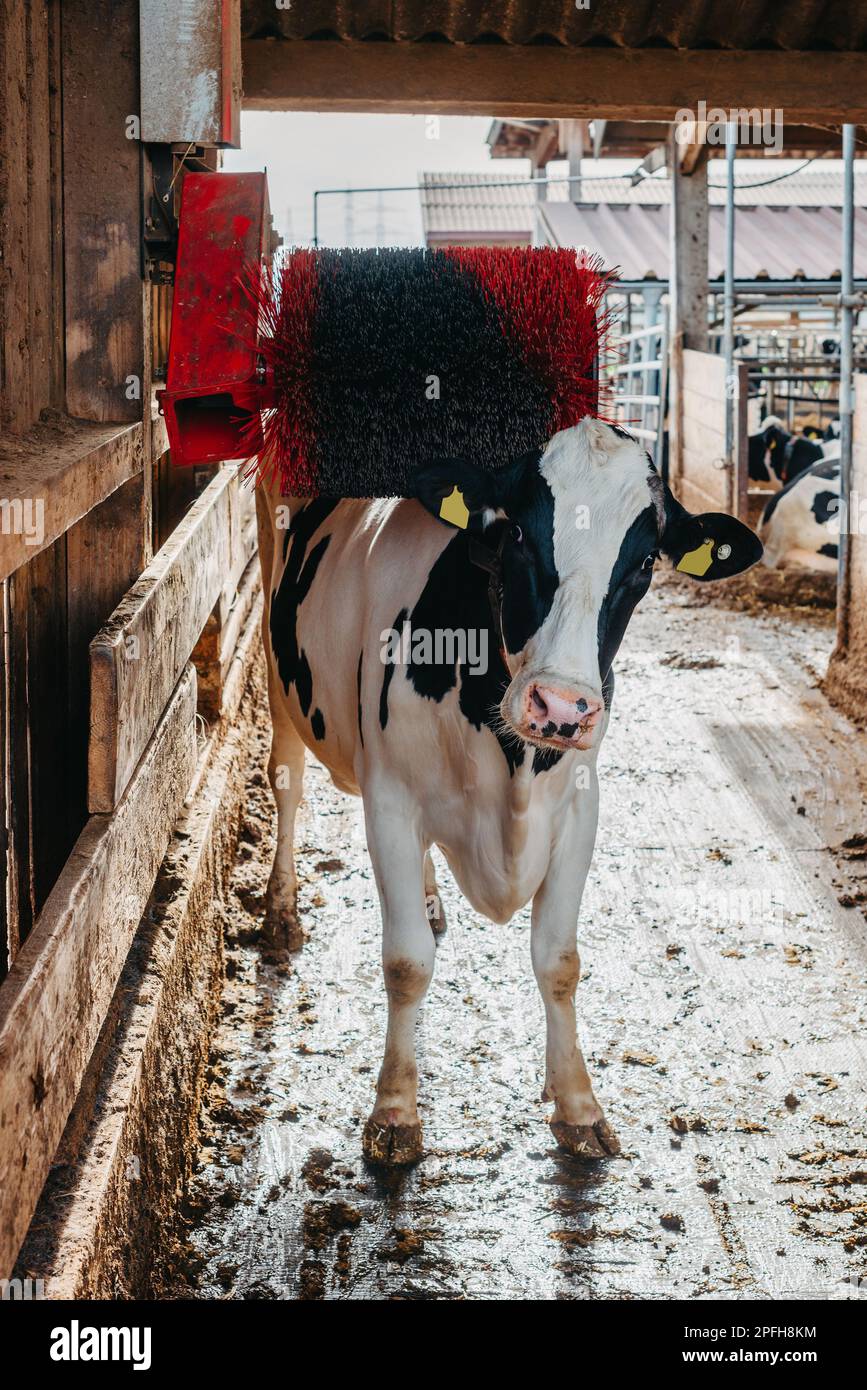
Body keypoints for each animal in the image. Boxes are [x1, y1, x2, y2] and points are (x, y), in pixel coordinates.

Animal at [255, 419, 762, 1165]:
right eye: (518, 532)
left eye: (644, 562)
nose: (563, 705)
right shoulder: (390, 801)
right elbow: (407, 962)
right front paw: (394, 1114)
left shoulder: (579, 808)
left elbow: (560, 961)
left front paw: (578, 1106)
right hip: (275, 661)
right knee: (285, 782)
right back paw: (281, 909)